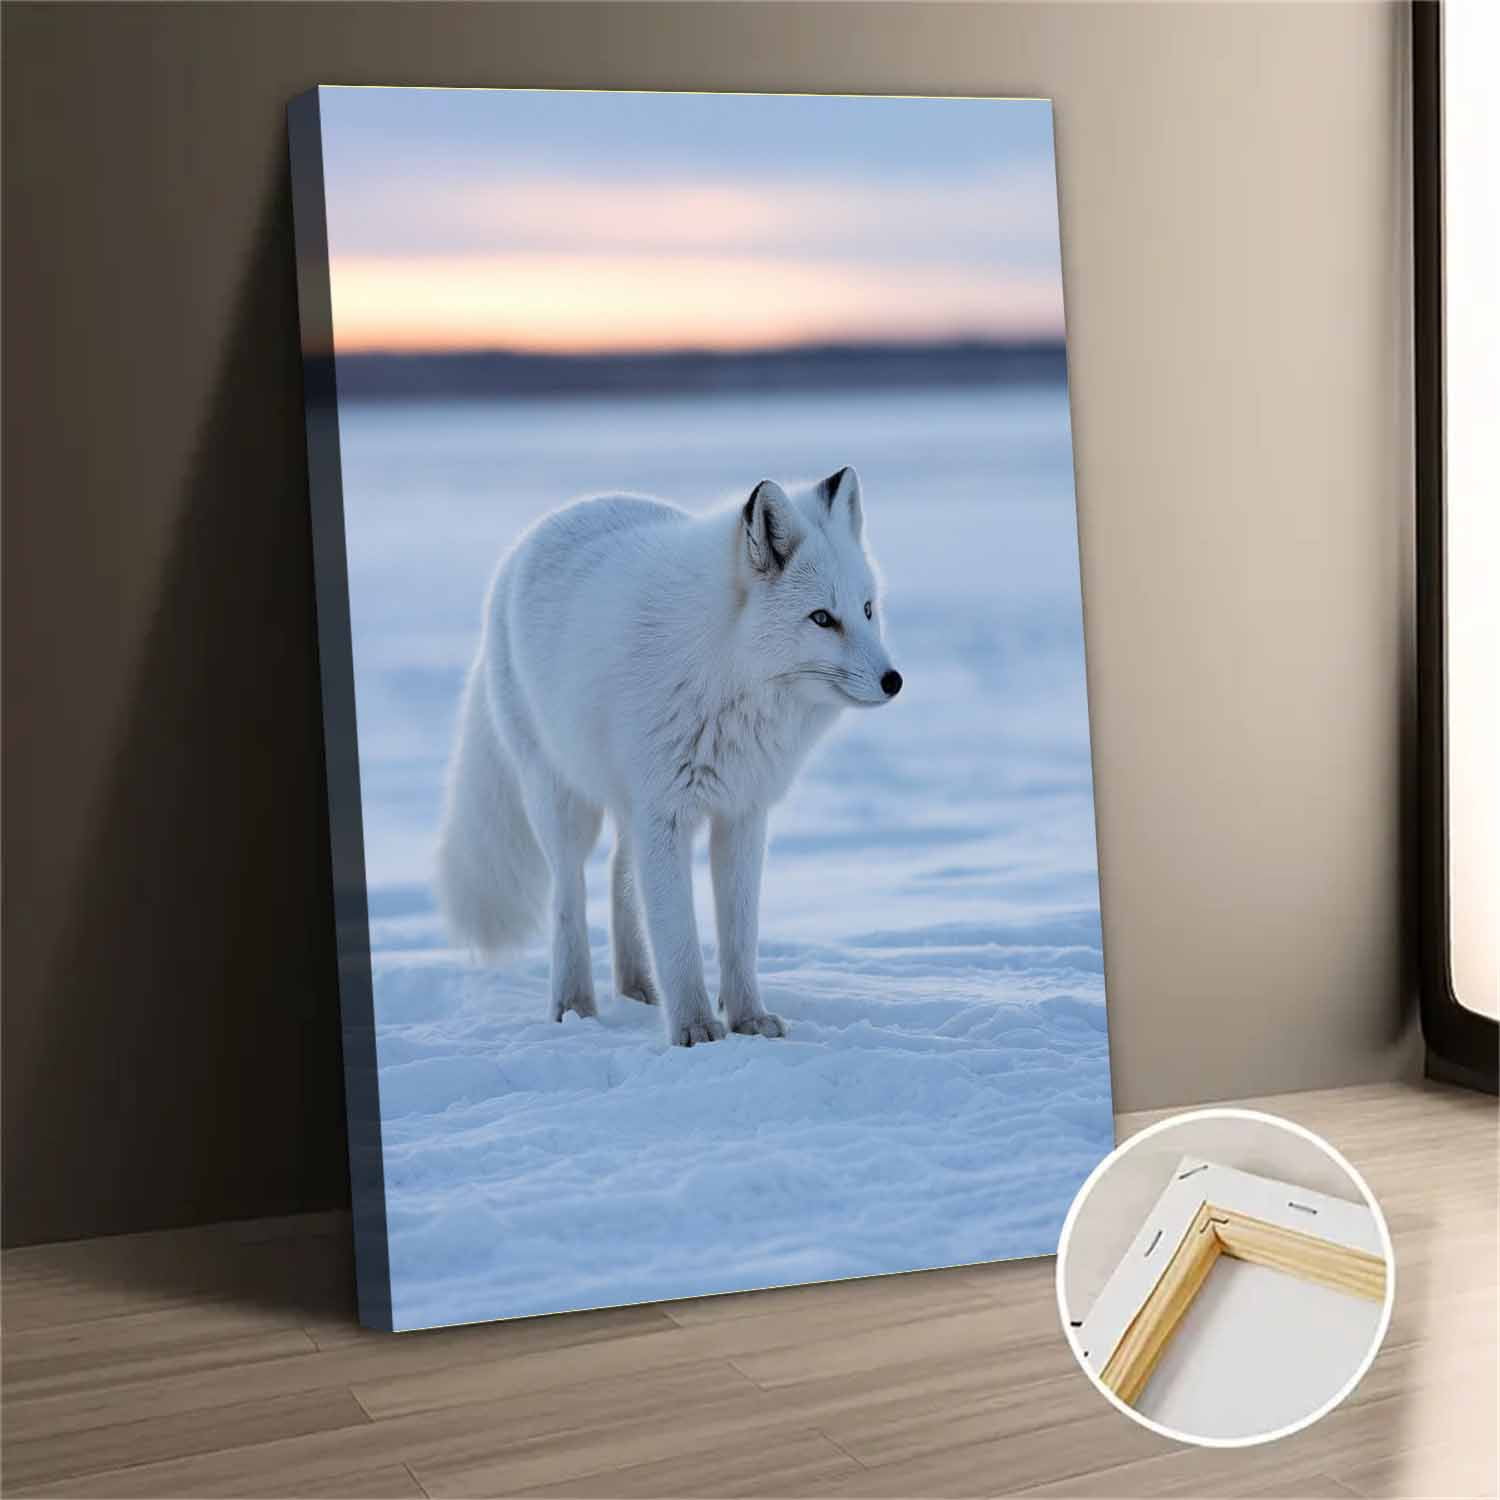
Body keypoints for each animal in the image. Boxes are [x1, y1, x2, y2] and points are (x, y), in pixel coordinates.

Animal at [434, 465, 902, 1047]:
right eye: (821, 618)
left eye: (867, 609)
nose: (893, 680)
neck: (729, 675)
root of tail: (532, 536)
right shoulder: (666, 813)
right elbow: (678, 935)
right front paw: (696, 1028)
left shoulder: (742, 813)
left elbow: (739, 934)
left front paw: (748, 1018)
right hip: (563, 802)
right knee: (569, 896)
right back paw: (574, 1005)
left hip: (629, 808)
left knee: (620, 874)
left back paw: (636, 986)